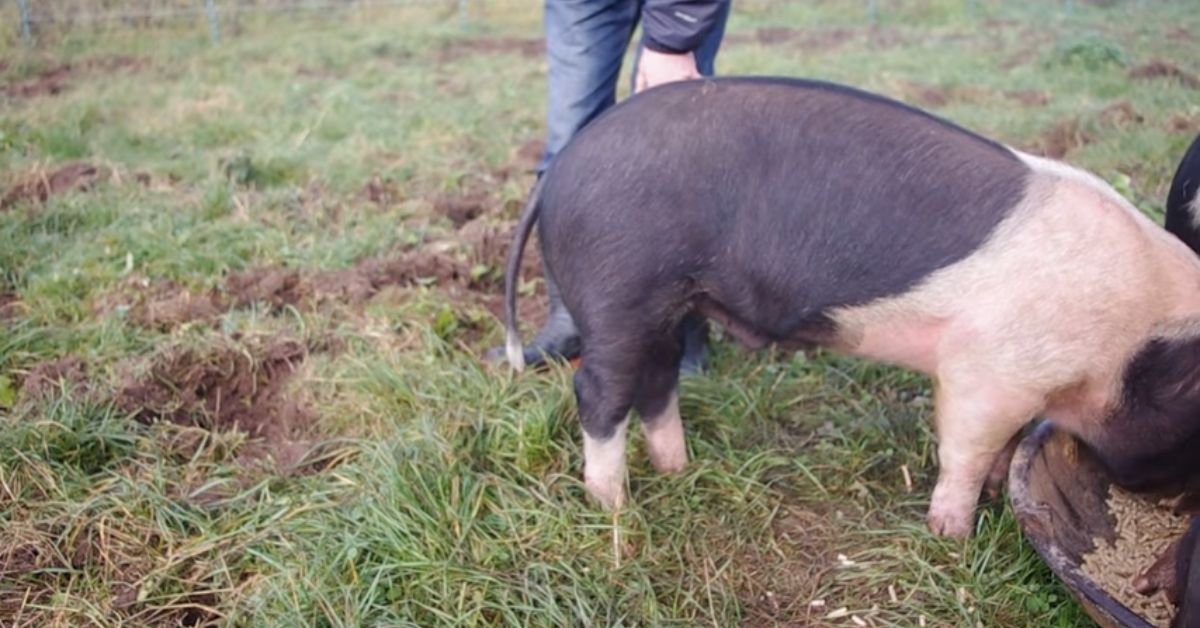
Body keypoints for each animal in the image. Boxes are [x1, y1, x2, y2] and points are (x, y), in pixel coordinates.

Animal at [500, 76, 1200, 537]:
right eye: (1189, 420)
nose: (1176, 504)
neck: (1124, 345)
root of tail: (560, 170)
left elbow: (1001, 450)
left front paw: (998, 494)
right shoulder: (988, 370)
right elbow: (965, 450)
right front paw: (952, 535)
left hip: (674, 302)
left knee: (657, 377)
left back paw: (677, 470)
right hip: (621, 287)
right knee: (599, 389)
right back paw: (614, 508)